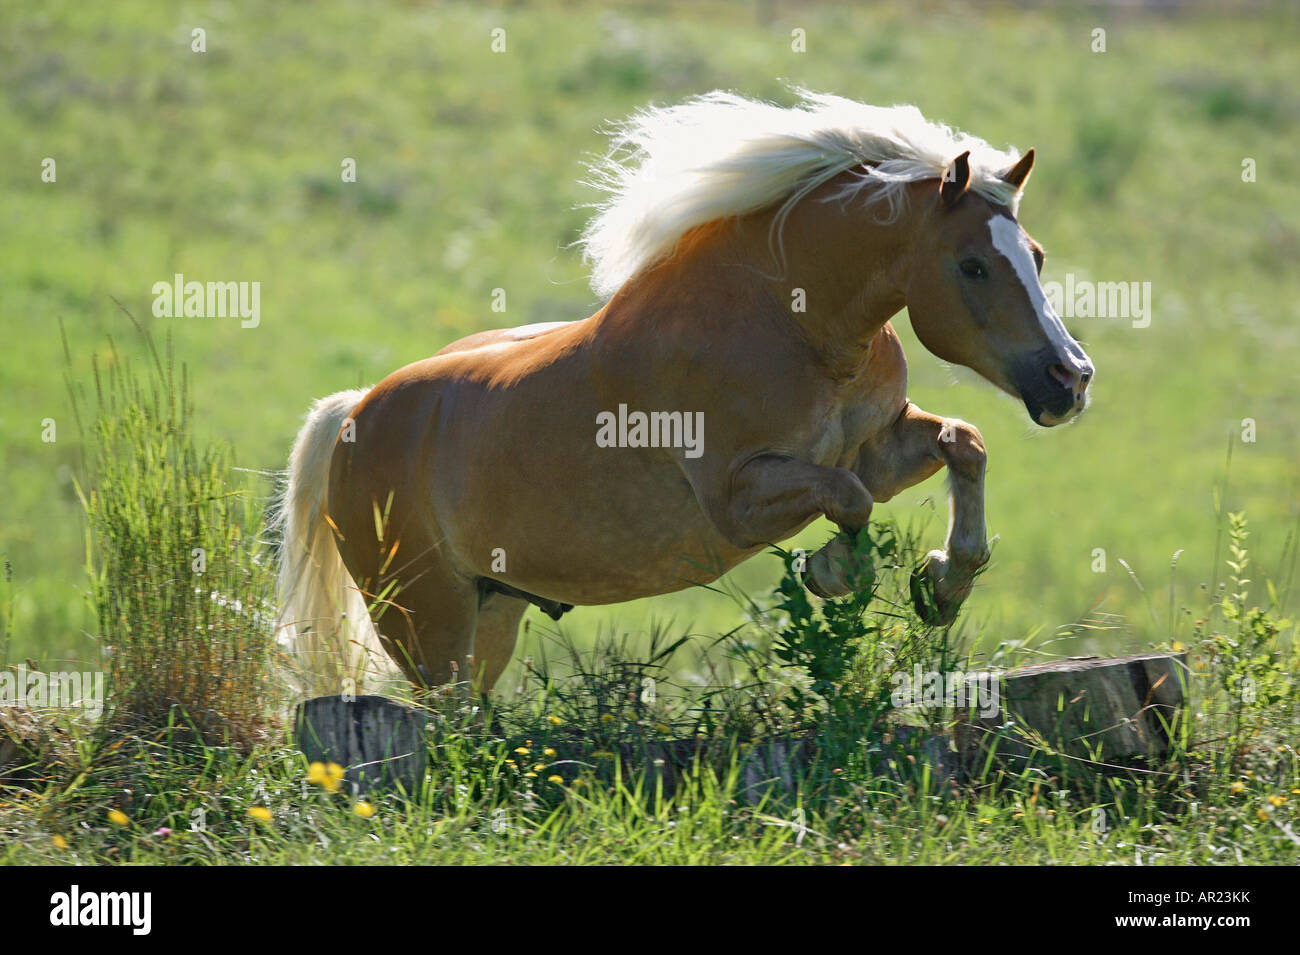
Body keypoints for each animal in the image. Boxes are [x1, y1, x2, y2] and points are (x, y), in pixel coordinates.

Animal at [274, 90, 1094, 696]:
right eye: (972, 265)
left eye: (1036, 254)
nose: (1070, 379)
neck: (793, 325)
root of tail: (354, 413)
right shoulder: (736, 499)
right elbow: (849, 500)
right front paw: (834, 572)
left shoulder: (879, 448)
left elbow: (963, 446)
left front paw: (943, 584)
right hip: (426, 624)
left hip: (492, 609)